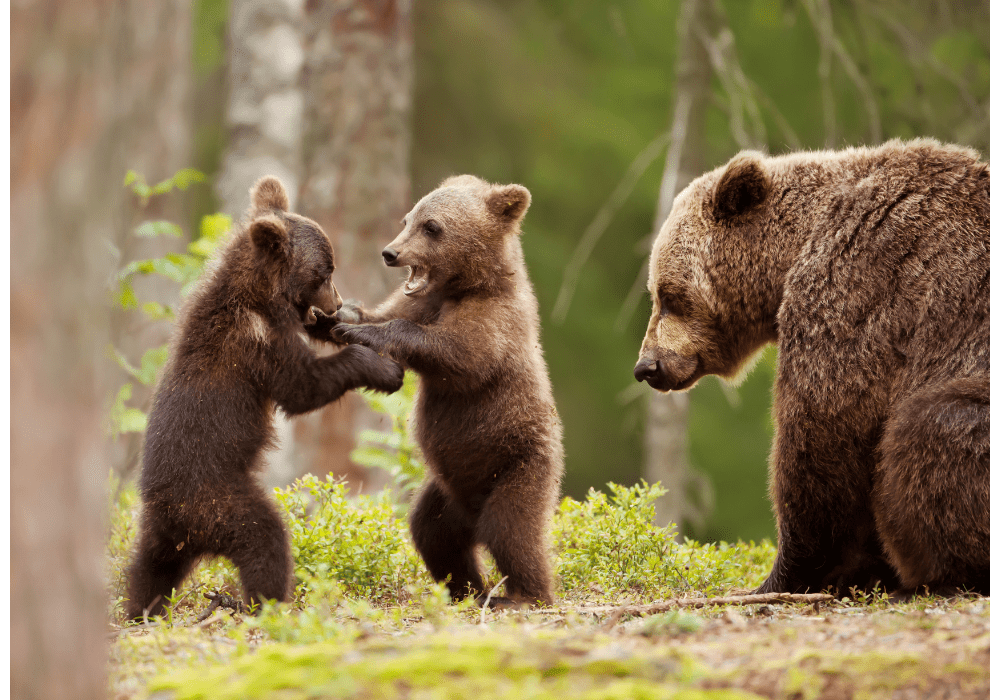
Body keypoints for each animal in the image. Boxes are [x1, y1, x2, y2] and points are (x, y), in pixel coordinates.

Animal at [124, 176, 405, 620]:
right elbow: (302, 387)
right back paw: (265, 602)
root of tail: (178, 519)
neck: (260, 297)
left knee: (148, 568)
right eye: (325, 271)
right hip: (219, 500)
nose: (337, 302)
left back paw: (140, 610)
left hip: (161, 532)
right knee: (265, 539)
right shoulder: (256, 344)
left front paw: (350, 324)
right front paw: (382, 368)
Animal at [326, 174, 564, 606]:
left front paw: (364, 331)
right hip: (446, 491)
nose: (390, 252)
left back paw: (524, 594)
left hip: (519, 465)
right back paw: (467, 589)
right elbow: (387, 313)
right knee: (432, 533)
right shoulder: (422, 301)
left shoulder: (496, 322)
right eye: (407, 219)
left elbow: (460, 354)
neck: (465, 286)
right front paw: (344, 314)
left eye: (432, 226)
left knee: (512, 530)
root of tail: (471, 512)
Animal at [633, 138, 989, 597]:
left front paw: (784, 575)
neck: (792, 252)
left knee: (929, 426)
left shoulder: (859, 286)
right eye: (656, 292)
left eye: (668, 295)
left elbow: (822, 431)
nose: (647, 366)